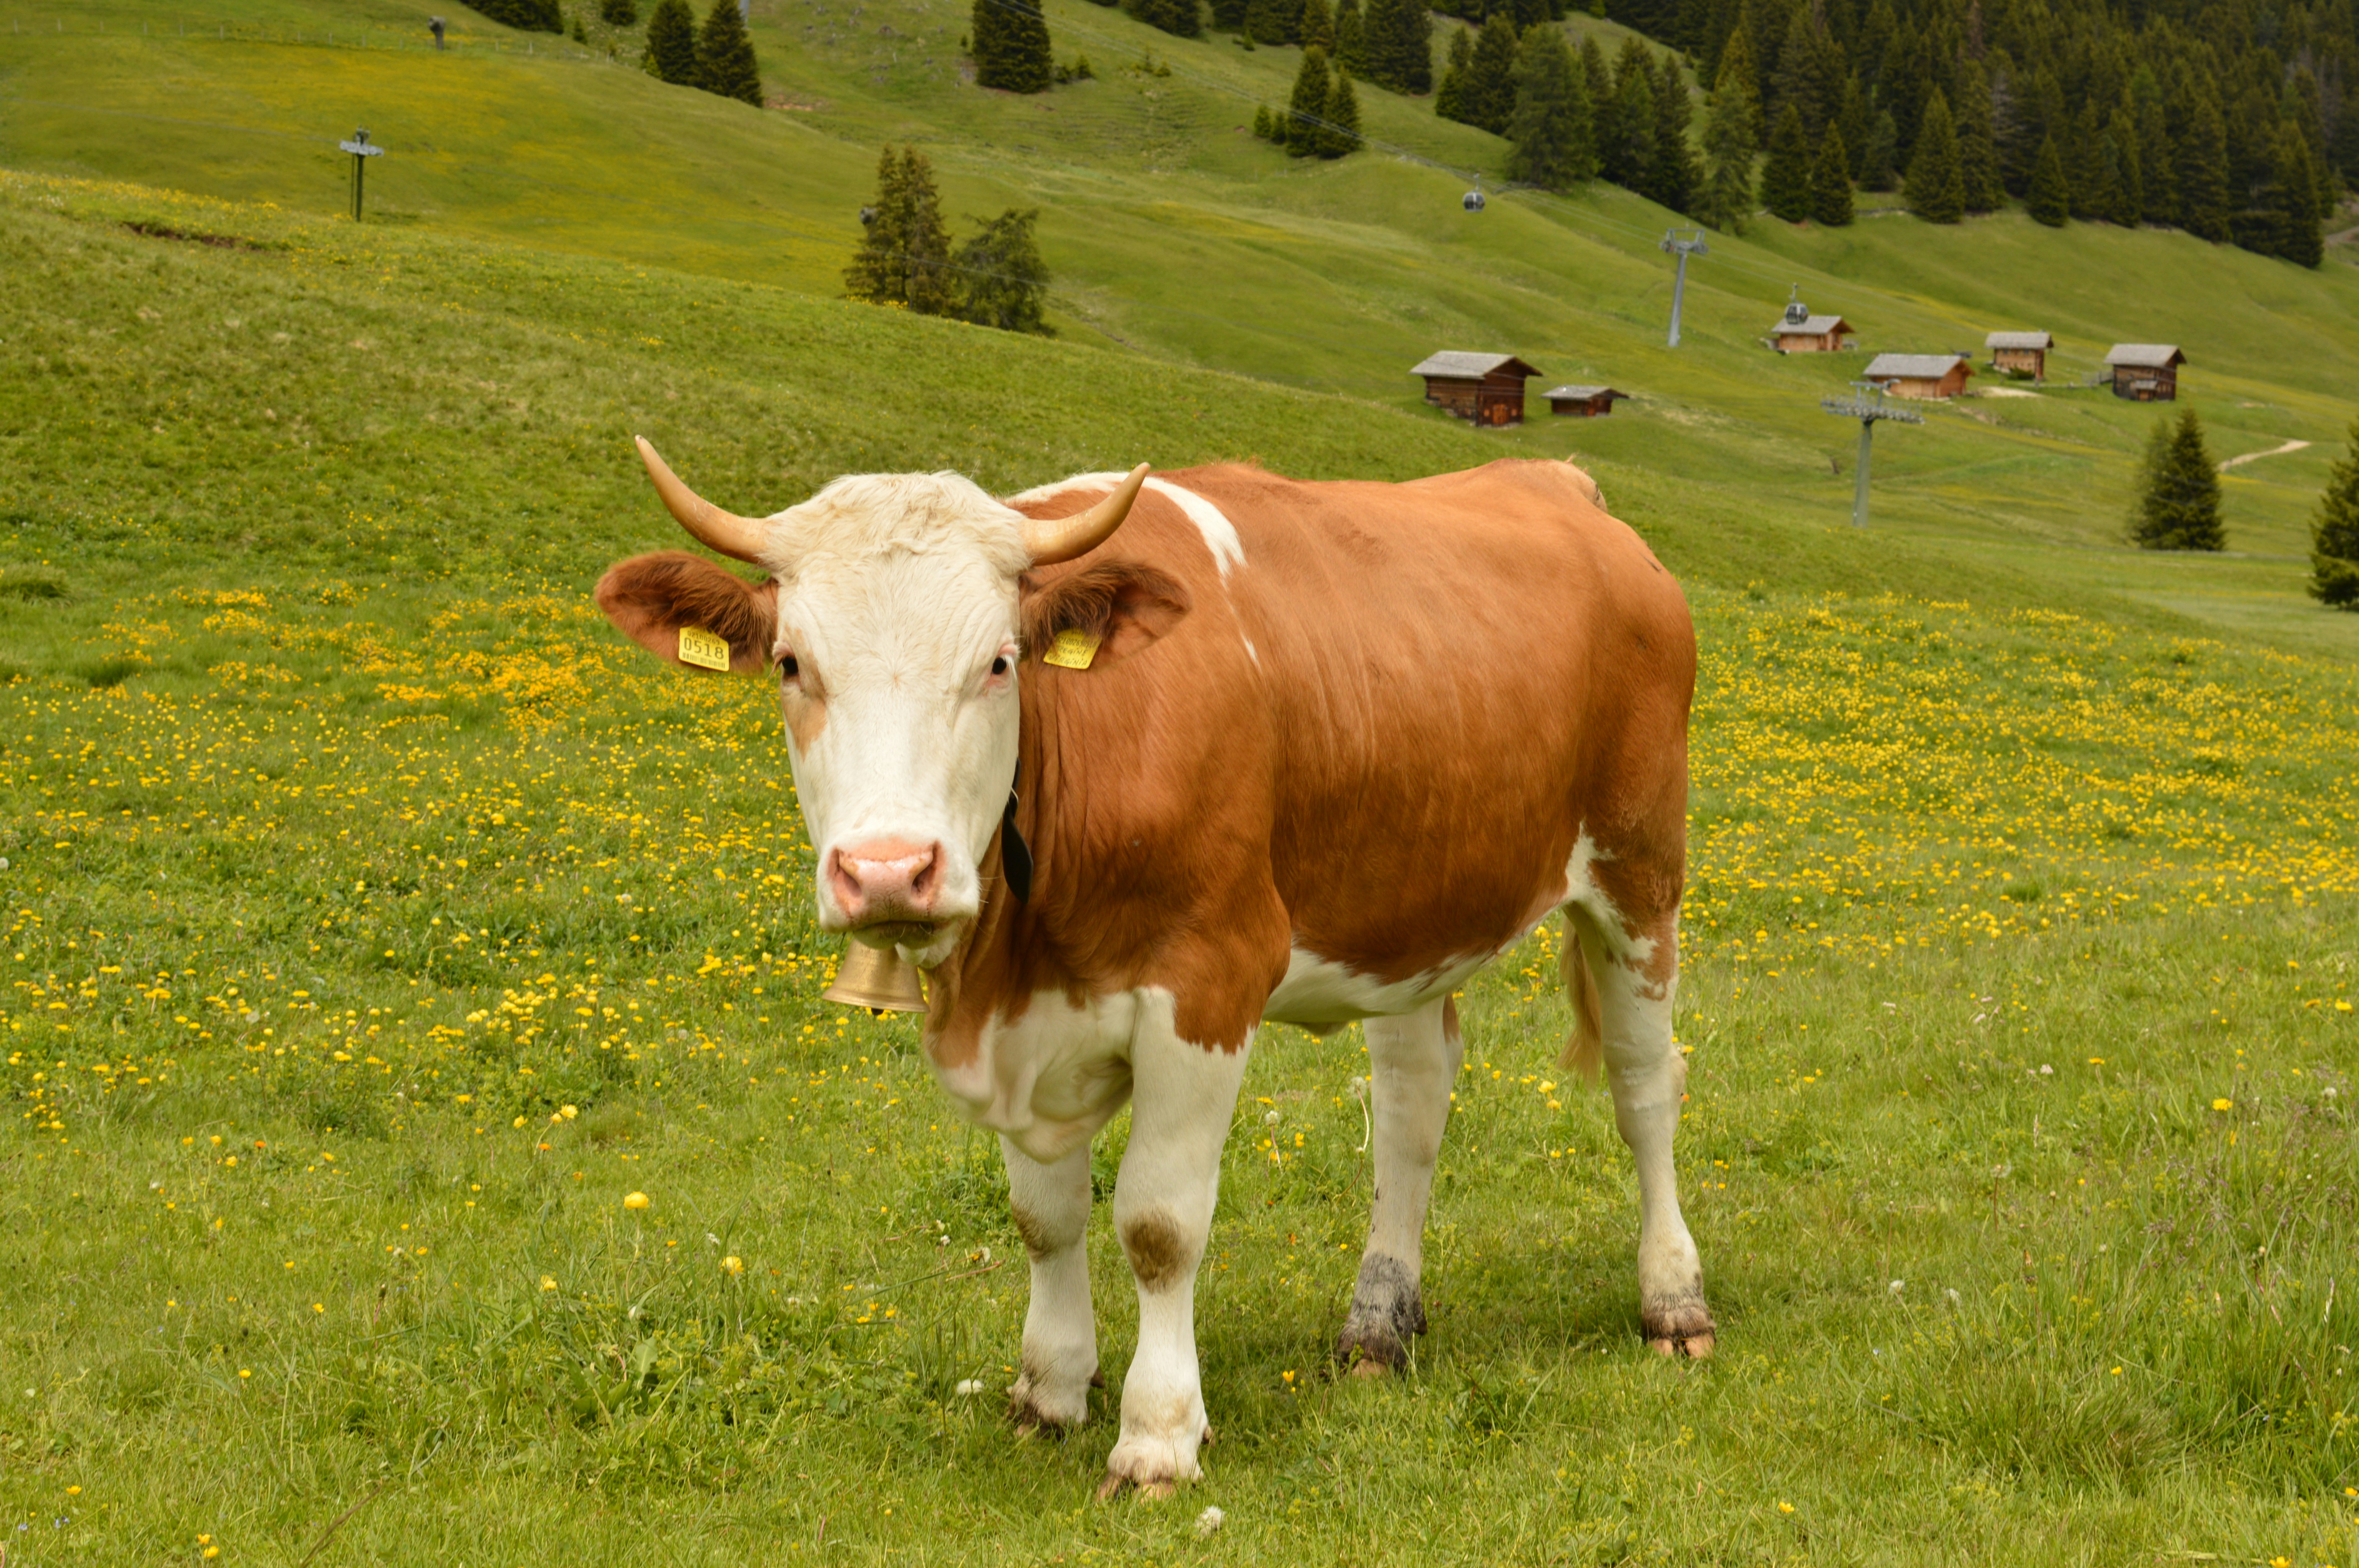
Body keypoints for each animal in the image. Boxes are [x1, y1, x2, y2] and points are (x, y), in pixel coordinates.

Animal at [595, 440, 1712, 1498]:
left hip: (1637, 869)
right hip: (1413, 908)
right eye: (790, 664)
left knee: (1643, 1087)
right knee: (1412, 1102)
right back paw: (1377, 1324)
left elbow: (1159, 1224)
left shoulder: (1206, 984)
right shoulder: (1028, 1026)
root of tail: (1556, 481)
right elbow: (1043, 1217)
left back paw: (1672, 1299)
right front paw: (1050, 1387)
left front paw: (1157, 1436)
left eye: (999, 662)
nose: (887, 870)